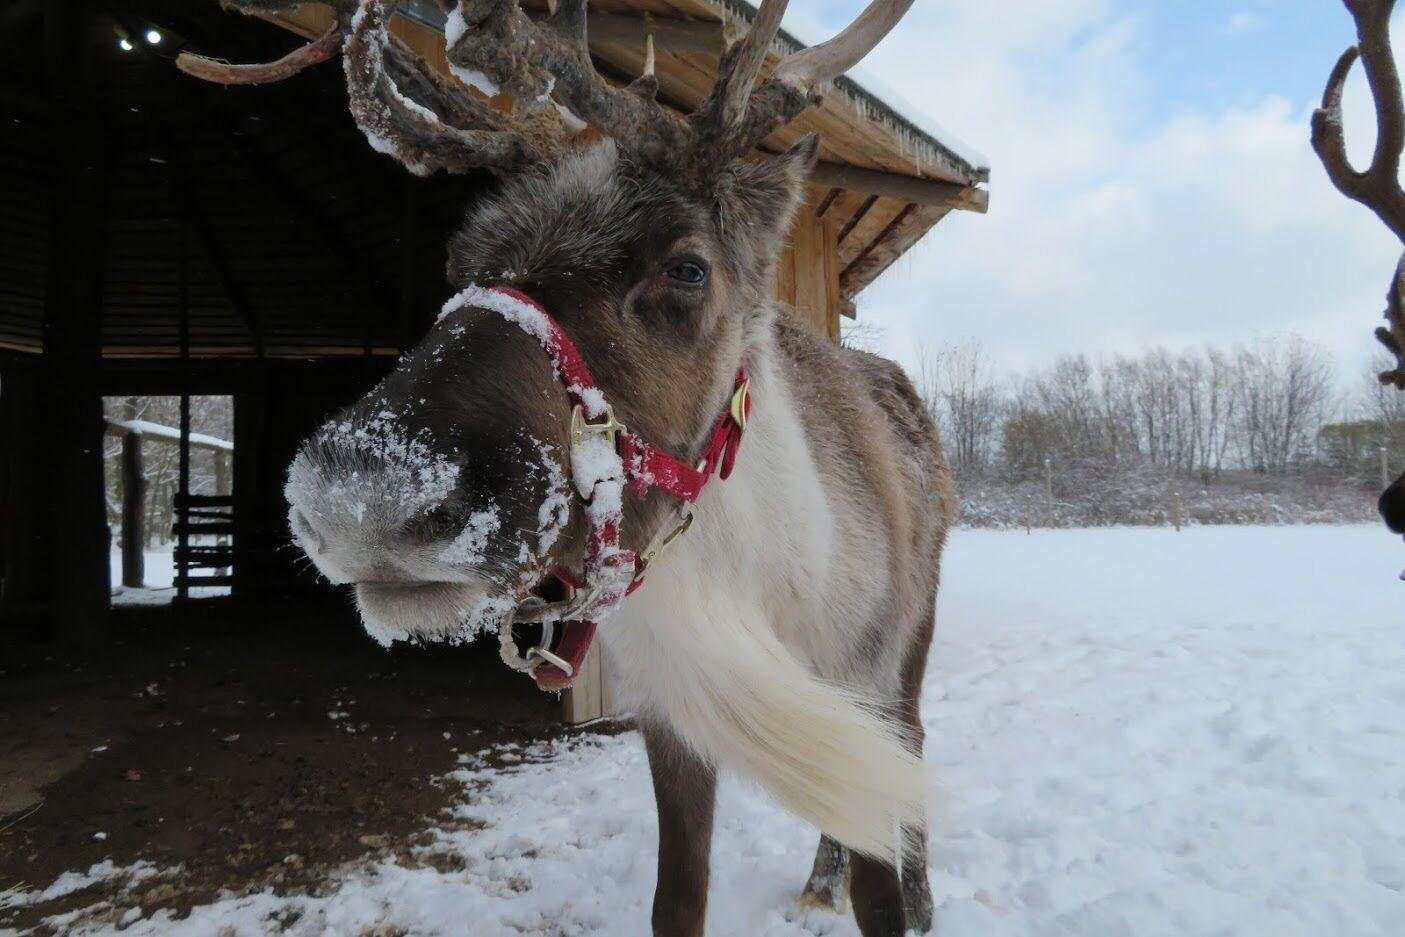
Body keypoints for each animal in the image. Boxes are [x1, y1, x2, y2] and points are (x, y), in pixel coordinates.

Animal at [180, 1, 953, 934]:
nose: (360, 496)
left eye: (687, 266)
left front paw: (899, 898)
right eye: (461, 262)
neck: (758, 589)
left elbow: (883, 869)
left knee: (914, 749)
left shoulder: (862, 667)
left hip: (915, 633)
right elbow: (676, 899)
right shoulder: (668, 714)